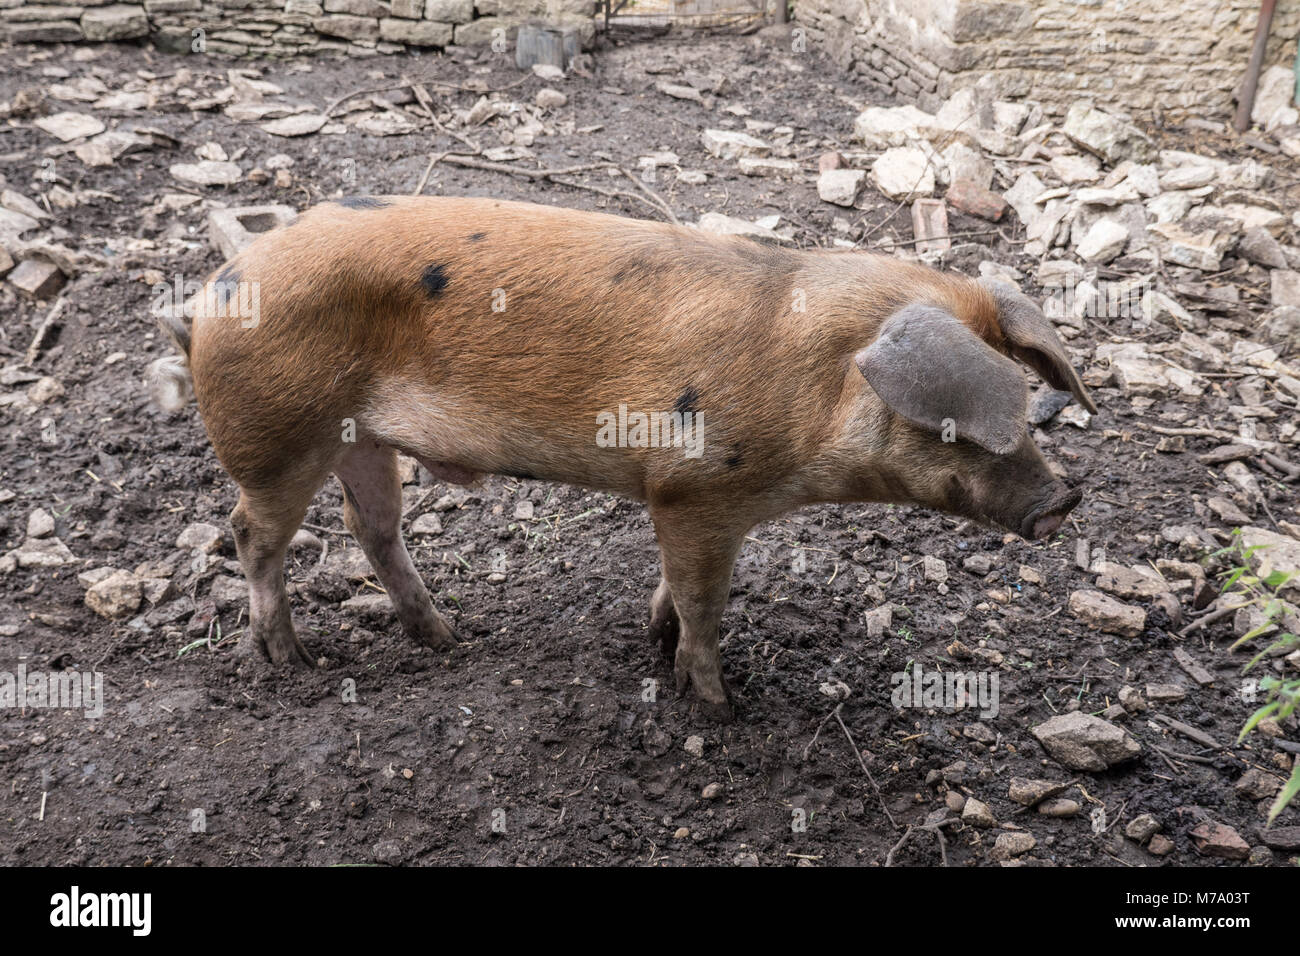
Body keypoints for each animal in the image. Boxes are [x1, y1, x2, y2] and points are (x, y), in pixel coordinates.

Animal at [149, 196, 1096, 720]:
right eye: (952, 429)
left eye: (1031, 408)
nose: (1063, 501)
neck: (814, 393)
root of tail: (209, 294)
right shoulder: (695, 489)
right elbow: (707, 602)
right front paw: (720, 707)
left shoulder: (700, 505)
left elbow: (680, 586)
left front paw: (655, 638)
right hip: (277, 435)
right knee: (251, 532)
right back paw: (295, 663)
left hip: (361, 439)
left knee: (371, 526)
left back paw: (450, 639)